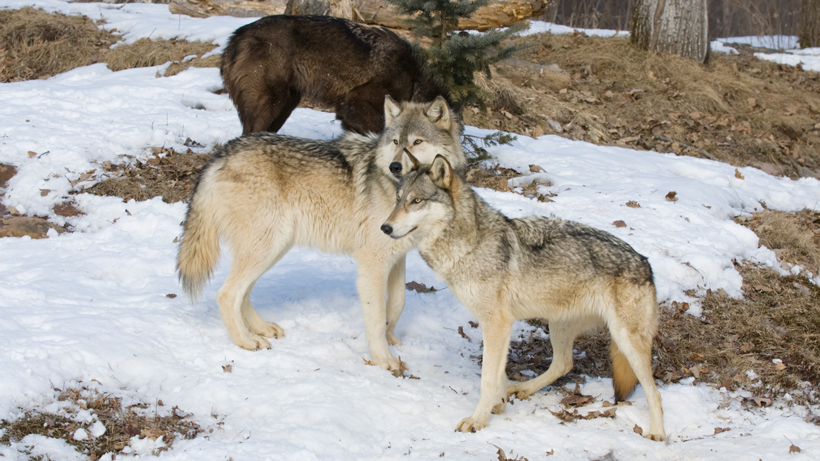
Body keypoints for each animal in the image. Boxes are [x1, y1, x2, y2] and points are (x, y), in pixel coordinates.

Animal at [176, 96, 464, 375]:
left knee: (243, 293)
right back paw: (246, 341)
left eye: (416, 142)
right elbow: (375, 315)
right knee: (226, 294)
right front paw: (384, 360)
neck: (396, 190)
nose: (395, 166)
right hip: (267, 247)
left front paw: (391, 337)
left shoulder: (396, 257)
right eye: (395, 142)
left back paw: (261, 329)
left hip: (273, 249)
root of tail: (221, 153)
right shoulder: (373, 262)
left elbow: (397, 303)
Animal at [221, 15, 454, 135]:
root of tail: (235, 37)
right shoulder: (354, 102)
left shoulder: (349, 118)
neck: (412, 81)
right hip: (271, 103)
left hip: (286, 105)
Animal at [380, 153, 665, 440]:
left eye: (417, 201)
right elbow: (497, 374)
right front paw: (498, 403)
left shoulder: (497, 323)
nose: (385, 227)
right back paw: (524, 389)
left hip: (624, 338)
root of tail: (646, 263)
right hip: (558, 325)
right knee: (564, 364)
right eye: (398, 199)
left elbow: (487, 378)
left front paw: (477, 420)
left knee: (653, 391)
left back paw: (657, 433)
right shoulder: (498, 325)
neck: (471, 244)